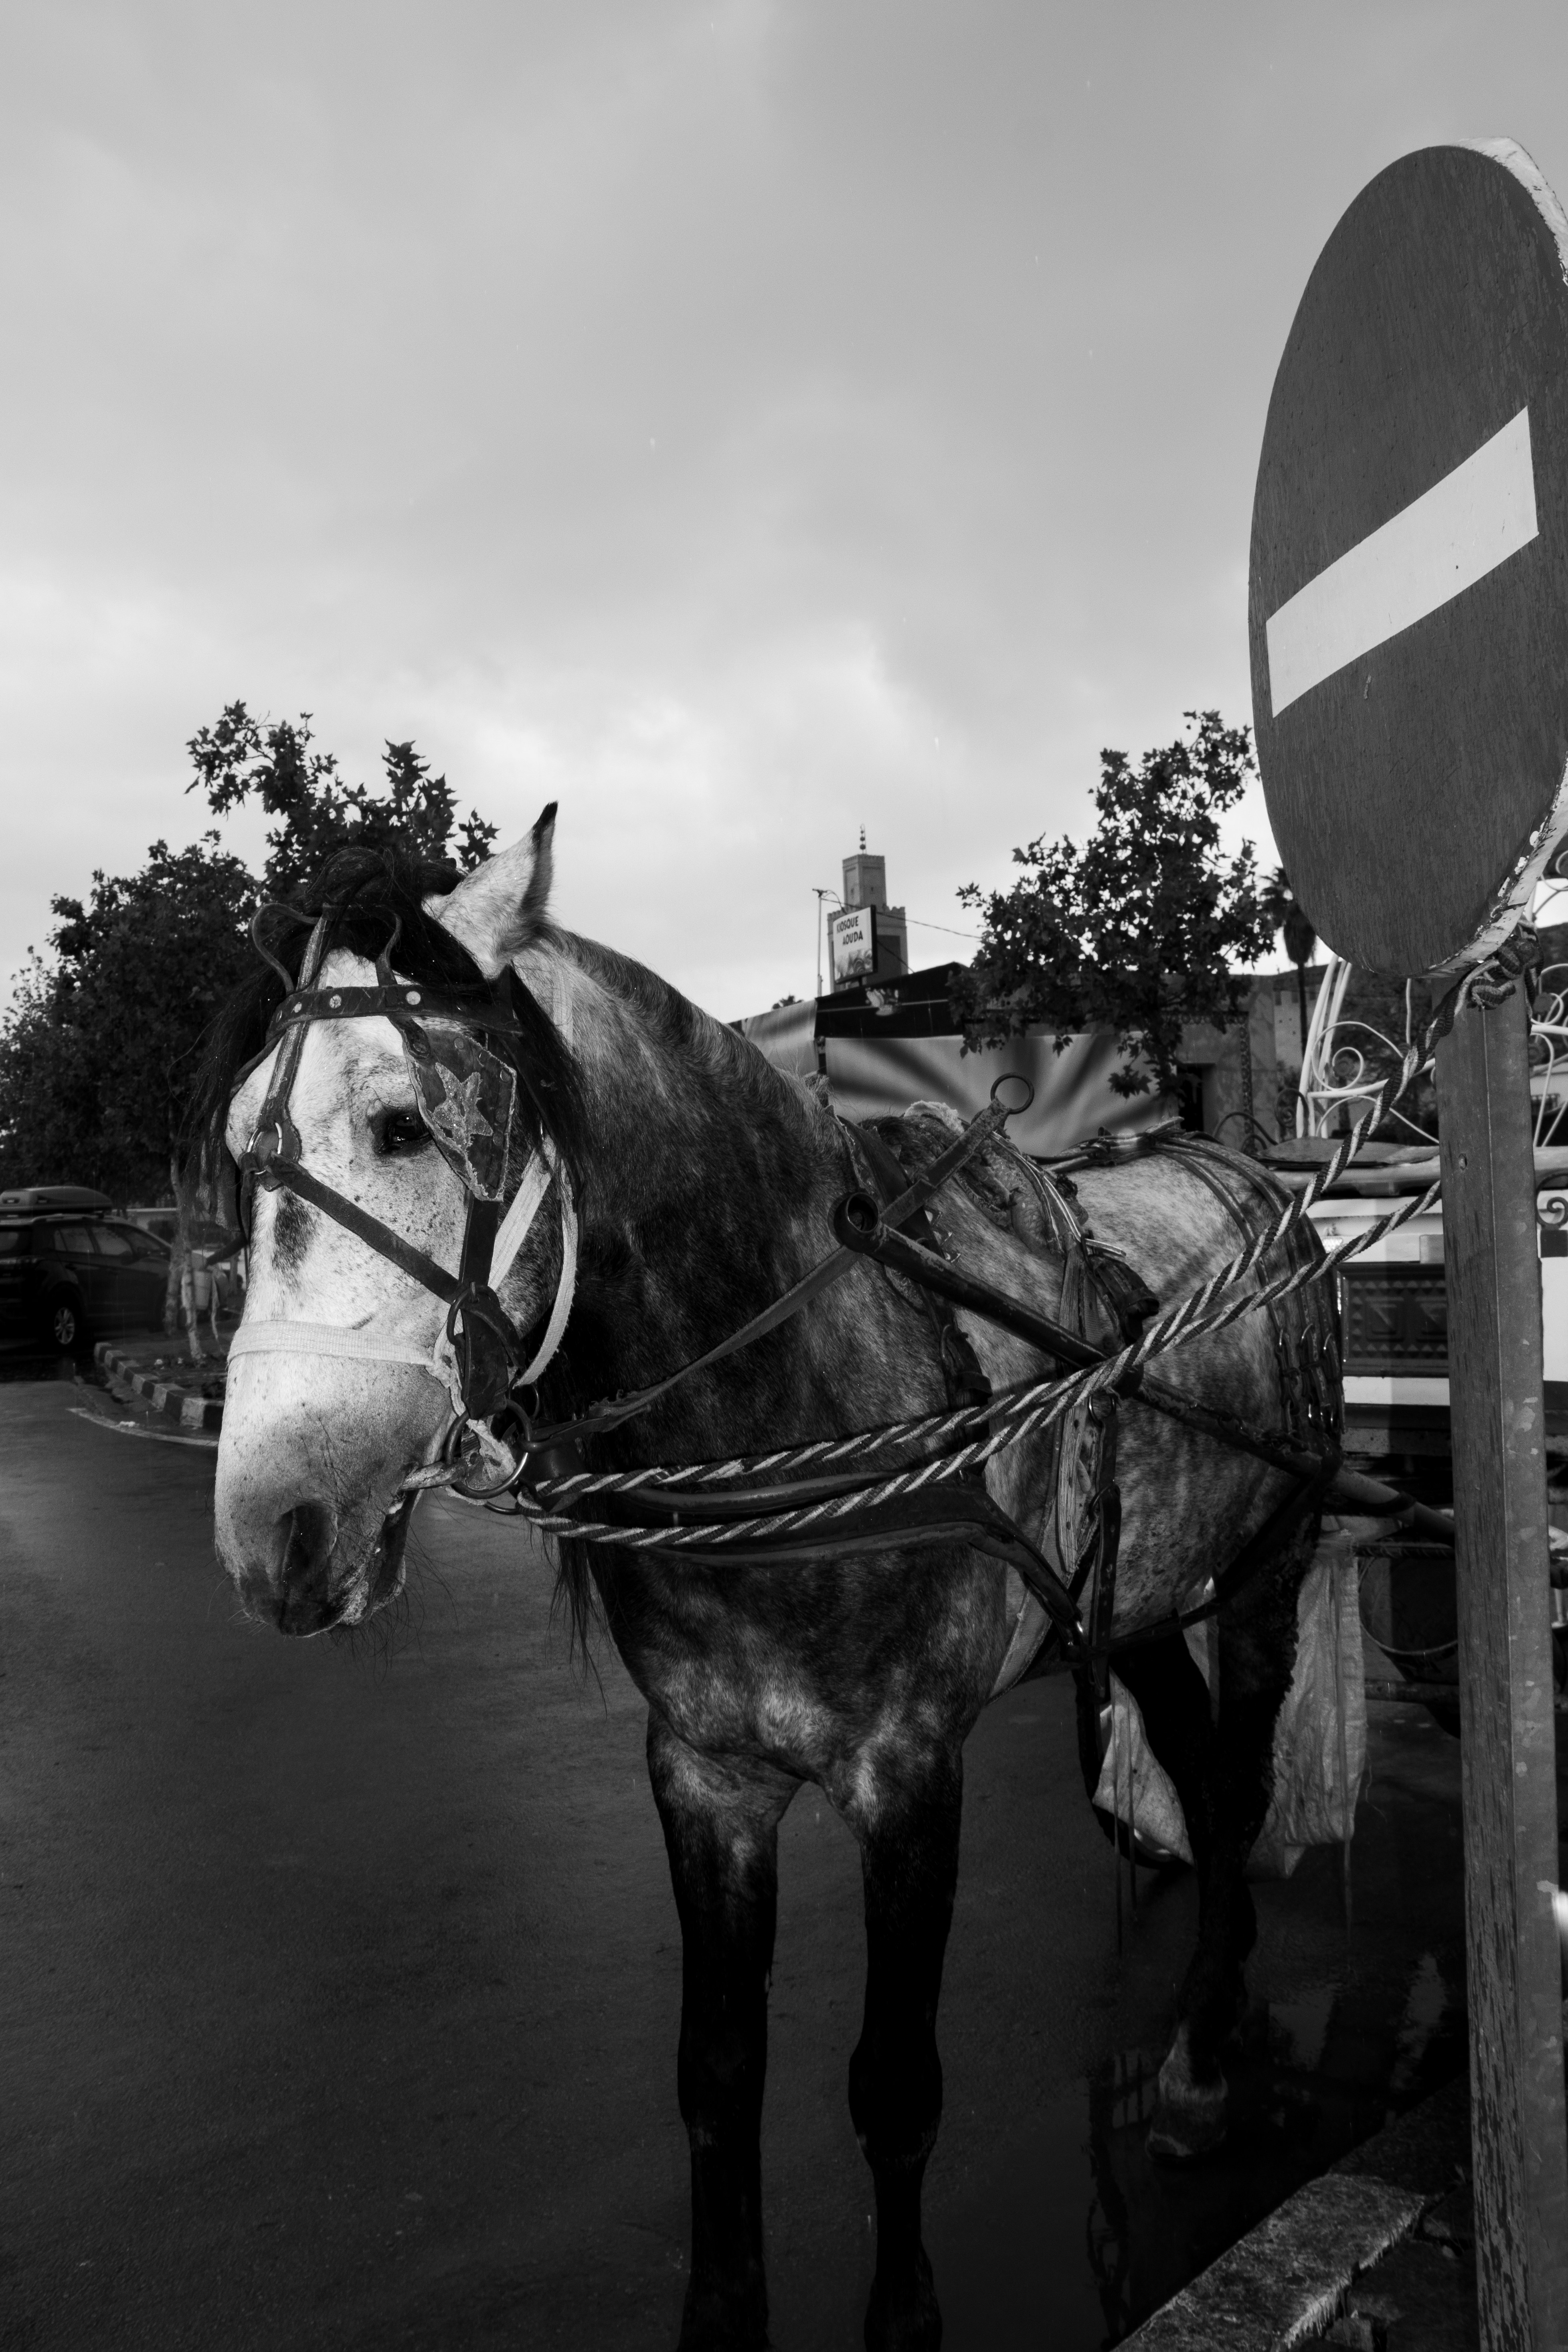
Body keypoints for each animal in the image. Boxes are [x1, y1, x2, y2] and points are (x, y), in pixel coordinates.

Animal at [203, 813, 1340, 2352]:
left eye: (398, 1123)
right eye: (236, 1150)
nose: (273, 1528)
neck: (787, 1395)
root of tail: (1257, 1181)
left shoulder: (909, 1771)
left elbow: (895, 2084)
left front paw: (903, 2318)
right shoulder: (702, 1771)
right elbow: (716, 2074)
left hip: (1273, 1553)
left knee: (1233, 1784)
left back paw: (1206, 2060)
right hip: (1145, 1588)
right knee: (1193, 1751)